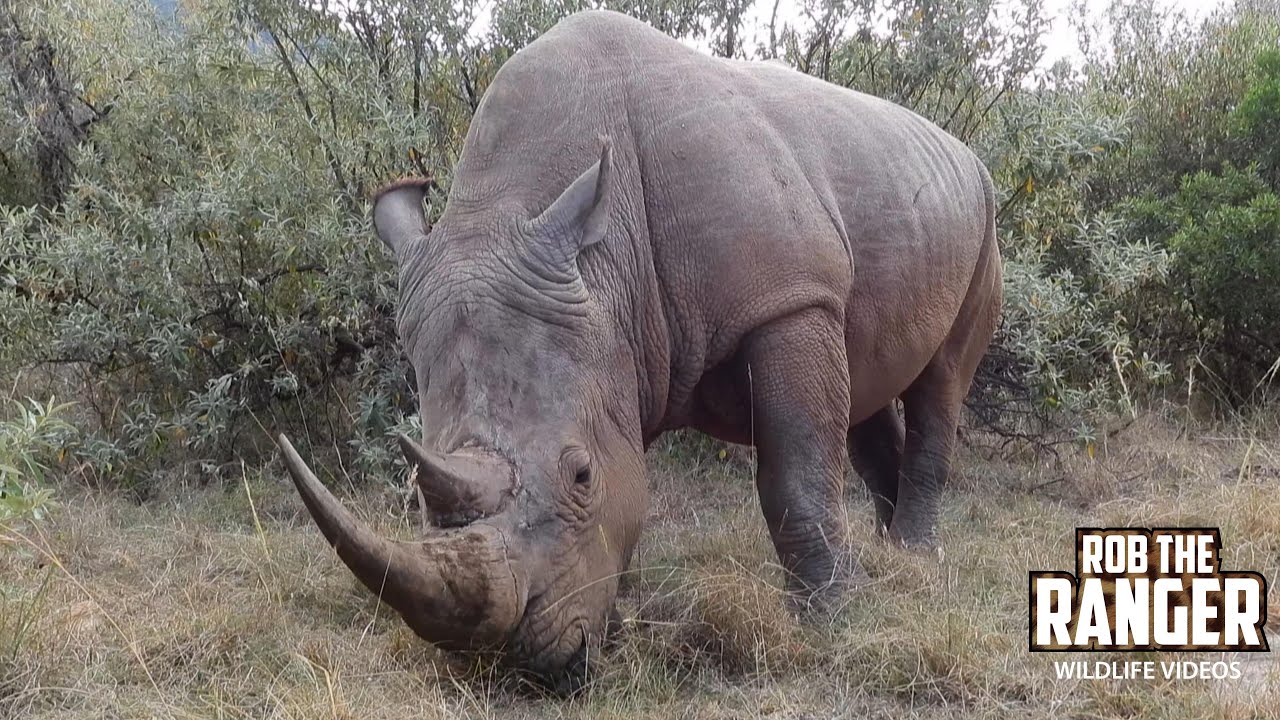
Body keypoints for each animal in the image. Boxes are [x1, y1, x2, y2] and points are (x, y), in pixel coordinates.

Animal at [278, 9, 1002, 688]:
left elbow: (796, 471)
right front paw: (618, 623)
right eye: (415, 496)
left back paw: (914, 558)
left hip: (981, 215)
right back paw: (886, 556)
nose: (513, 669)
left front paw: (828, 620)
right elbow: (632, 490)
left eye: (579, 476)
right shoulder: (623, 345)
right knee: (866, 390)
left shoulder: (791, 300)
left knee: (940, 380)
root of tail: (960, 149)